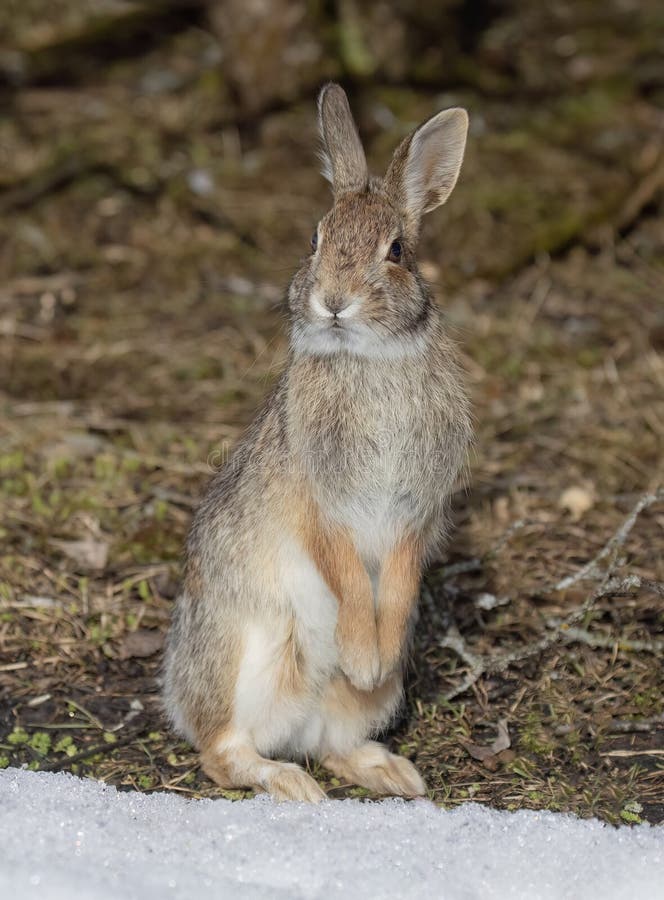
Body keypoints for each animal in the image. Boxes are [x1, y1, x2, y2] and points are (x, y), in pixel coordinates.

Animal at [163, 83, 472, 802]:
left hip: (361, 704)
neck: (369, 360)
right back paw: (288, 782)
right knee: (222, 751)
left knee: (333, 742)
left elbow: (400, 576)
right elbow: (346, 575)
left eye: (396, 250)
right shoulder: (319, 503)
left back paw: (393, 772)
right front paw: (361, 653)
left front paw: (374, 657)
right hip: (249, 657)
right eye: (314, 238)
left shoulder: (416, 509)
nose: (333, 301)